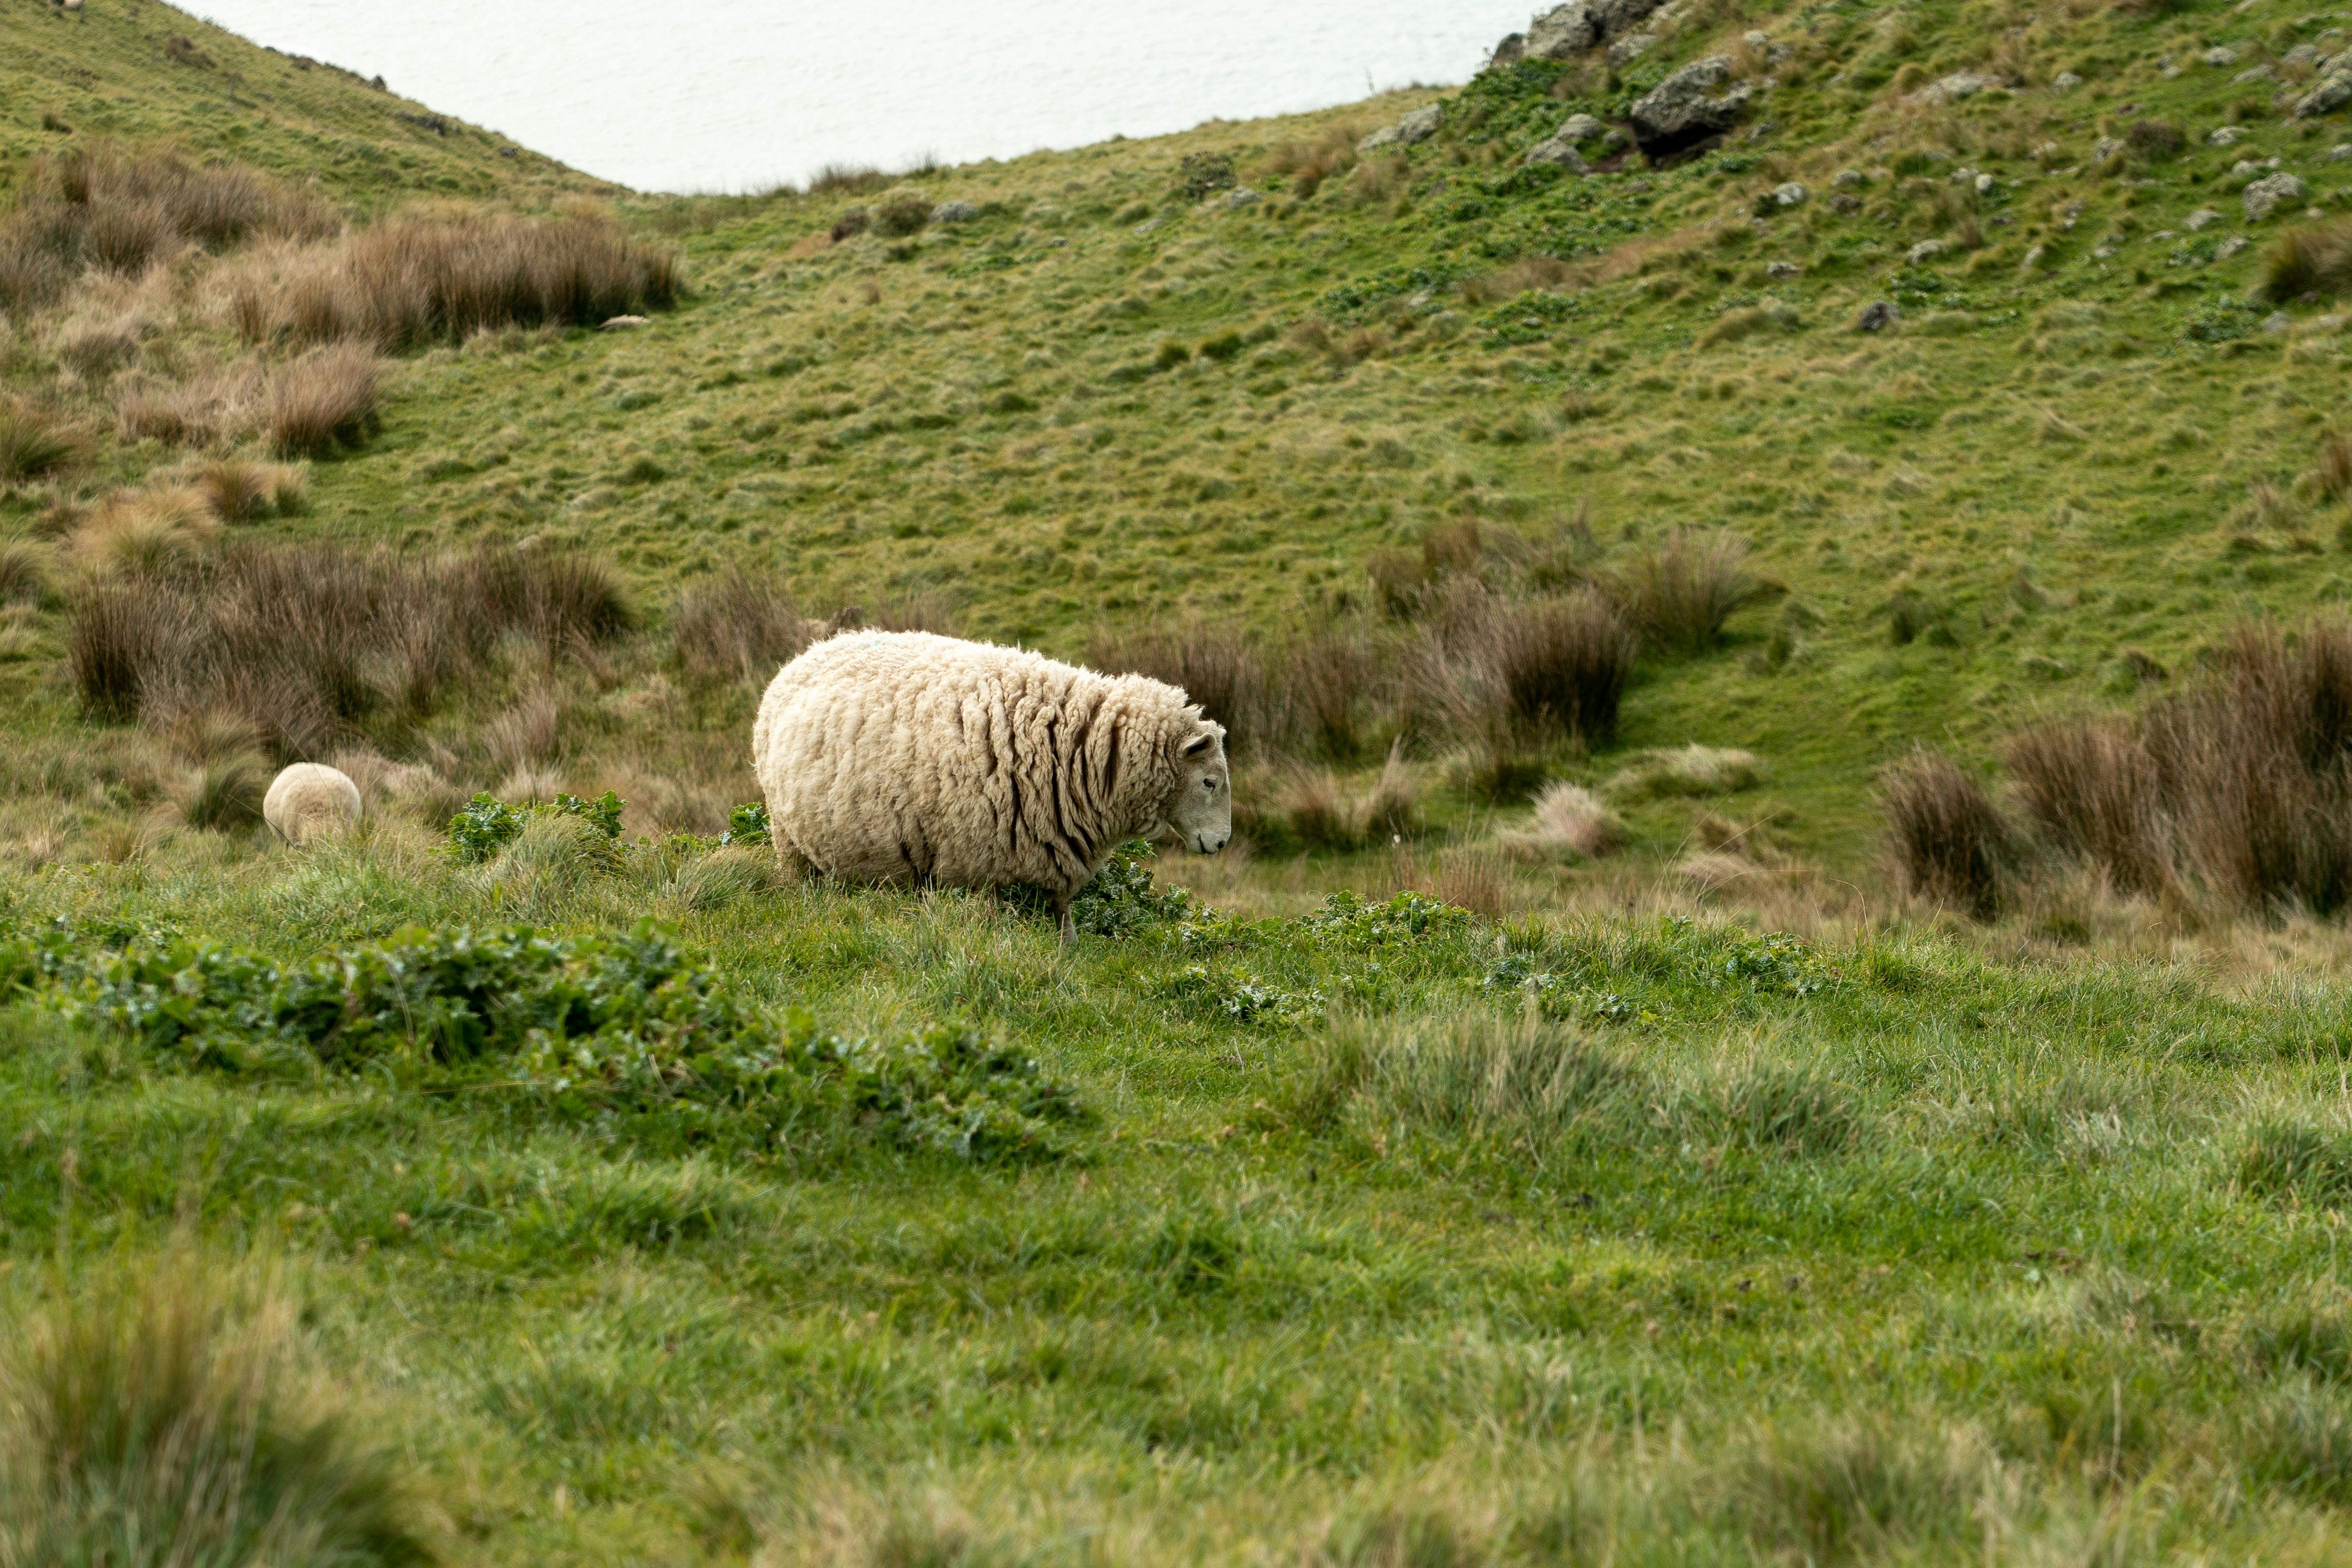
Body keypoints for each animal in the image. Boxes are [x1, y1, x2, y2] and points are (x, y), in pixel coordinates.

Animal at [753, 631, 1231, 936]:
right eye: (1209, 782)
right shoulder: (981, 869)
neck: (1078, 743)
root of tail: (806, 654)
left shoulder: (1054, 861)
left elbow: (1066, 931)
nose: (1222, 843)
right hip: (790, 845)